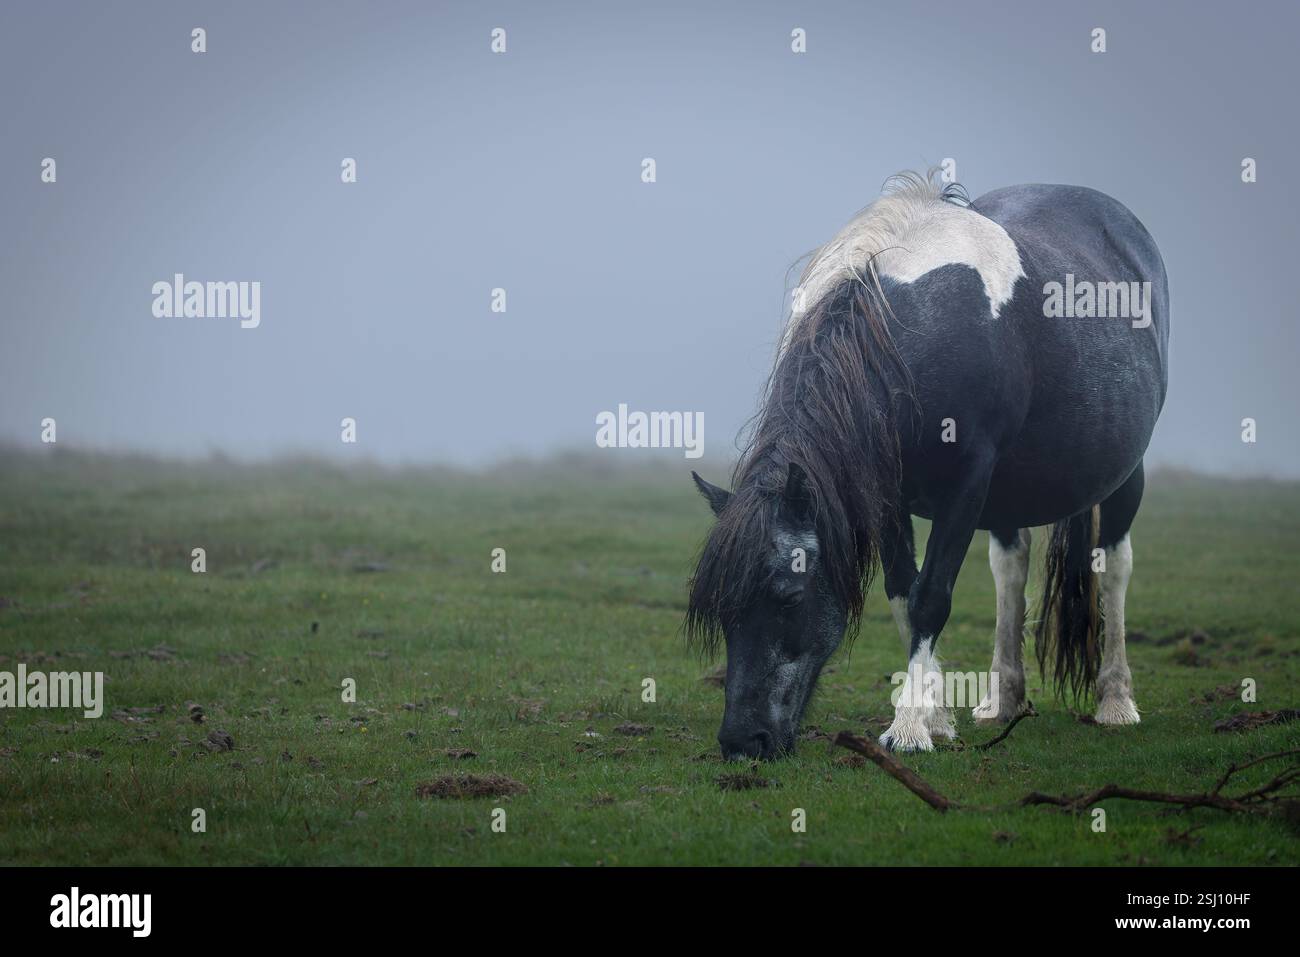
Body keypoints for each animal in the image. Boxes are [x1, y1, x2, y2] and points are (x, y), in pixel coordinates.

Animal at [686, 170, 1169, 758]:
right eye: (720, 607)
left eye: (788, 596)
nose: (742, 743)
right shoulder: (886, 493)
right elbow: (902, 593)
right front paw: (935, 717)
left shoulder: (968, 482)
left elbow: (930, 598)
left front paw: (909, 729)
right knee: (1010, 567)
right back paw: (1003, 699)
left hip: (1124, 474)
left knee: (1114, 565)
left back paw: (1115, 701)